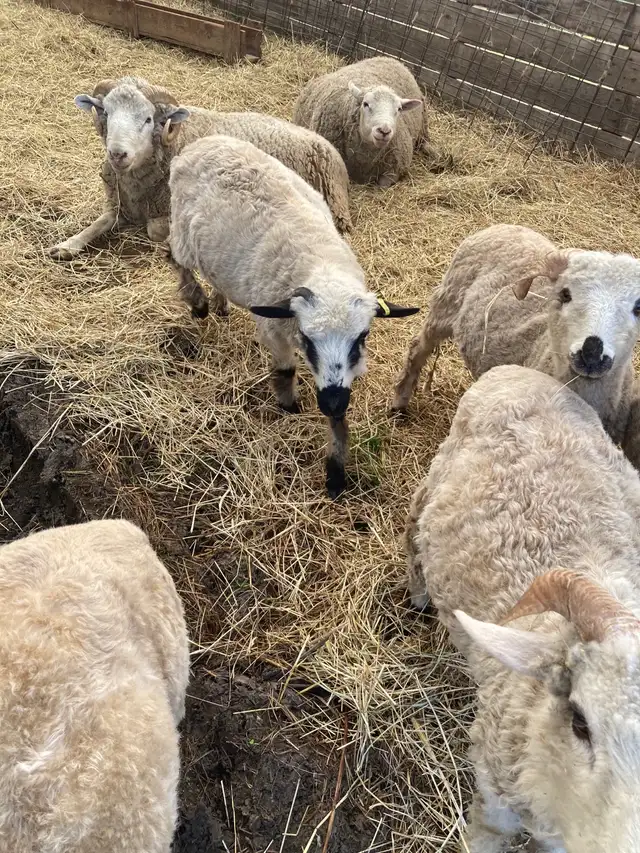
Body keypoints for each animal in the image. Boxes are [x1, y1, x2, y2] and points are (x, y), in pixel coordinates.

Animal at [48, 77, 352, 260]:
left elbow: (154, 230)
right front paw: (67, 245)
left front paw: (168, 243)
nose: (117, 154)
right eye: (106, 113)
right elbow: (99, 222)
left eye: (148, 119)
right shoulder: (121, 204)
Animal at [168, 134, 418, 498]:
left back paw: (219, 303)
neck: (321, 263)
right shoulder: (274, 328)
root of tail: (206, 140)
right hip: (181, 229)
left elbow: (340, 416)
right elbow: (285, 370)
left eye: (362, 336)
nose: (331, 402)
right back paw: (198, 304)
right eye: (308, 338)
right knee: (176, 258)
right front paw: (288, 404)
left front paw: (336, 471)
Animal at [292, 56, 430, 188]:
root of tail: (392, 59)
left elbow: (382, 185)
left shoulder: (395, 169)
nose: (384, 131)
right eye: (365, 104)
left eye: (399, 109)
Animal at [392, 223, 640, 466]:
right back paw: (400, 403)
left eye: (638, 308)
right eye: (565, 294)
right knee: (418, 348)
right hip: (446, 302)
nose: (592, 352)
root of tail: (505, 226)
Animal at [406, 363, 640, 853]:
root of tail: (520, 370)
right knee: (411, 525)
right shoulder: (495, 794)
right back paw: (417, 594)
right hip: (438, 473)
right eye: (580, 722)